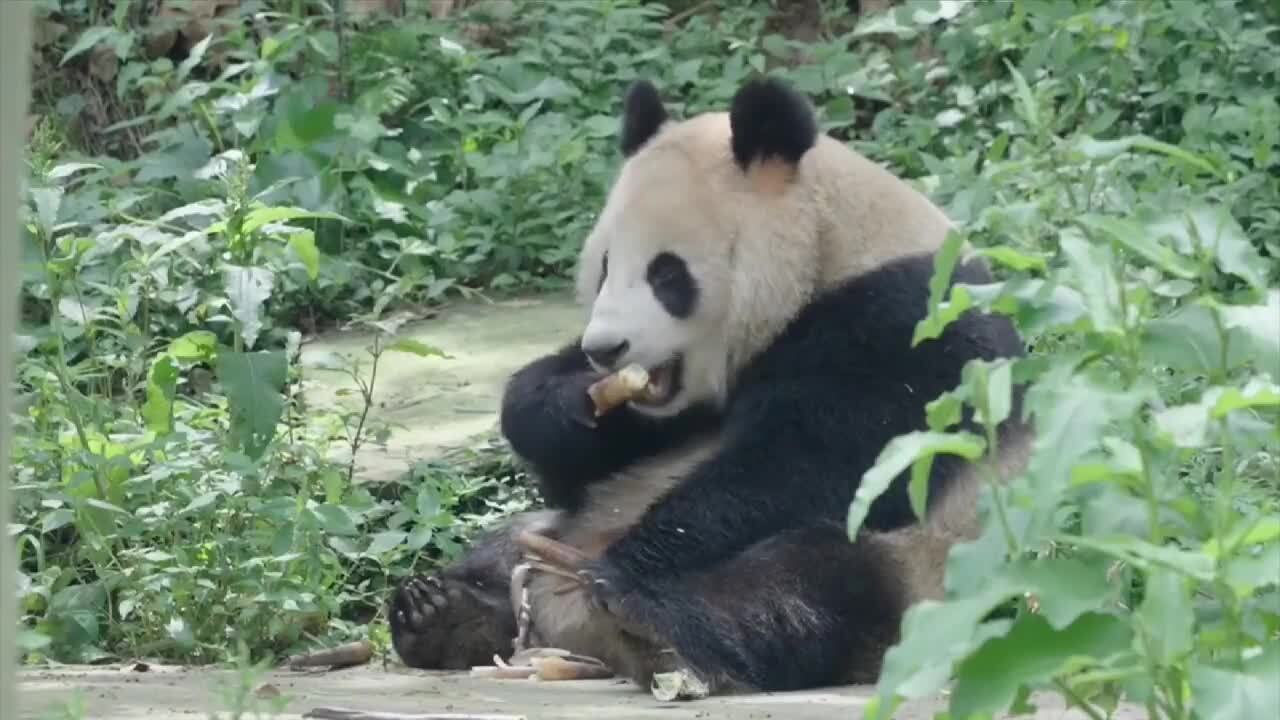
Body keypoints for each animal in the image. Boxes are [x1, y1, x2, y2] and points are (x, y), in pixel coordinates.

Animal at [387, 76, 1032, 695]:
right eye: (605, 267)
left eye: (666, 274)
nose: (605, 349)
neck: (833, 249)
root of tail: (567, 633)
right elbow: (568, 459)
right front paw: (568, 407)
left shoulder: (903, 330)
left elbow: (811, 468)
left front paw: (634, 561)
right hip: (553, 530)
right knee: (507, 544)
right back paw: (443, 611)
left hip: (932, 570)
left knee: (806, 583)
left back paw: (646, 622)